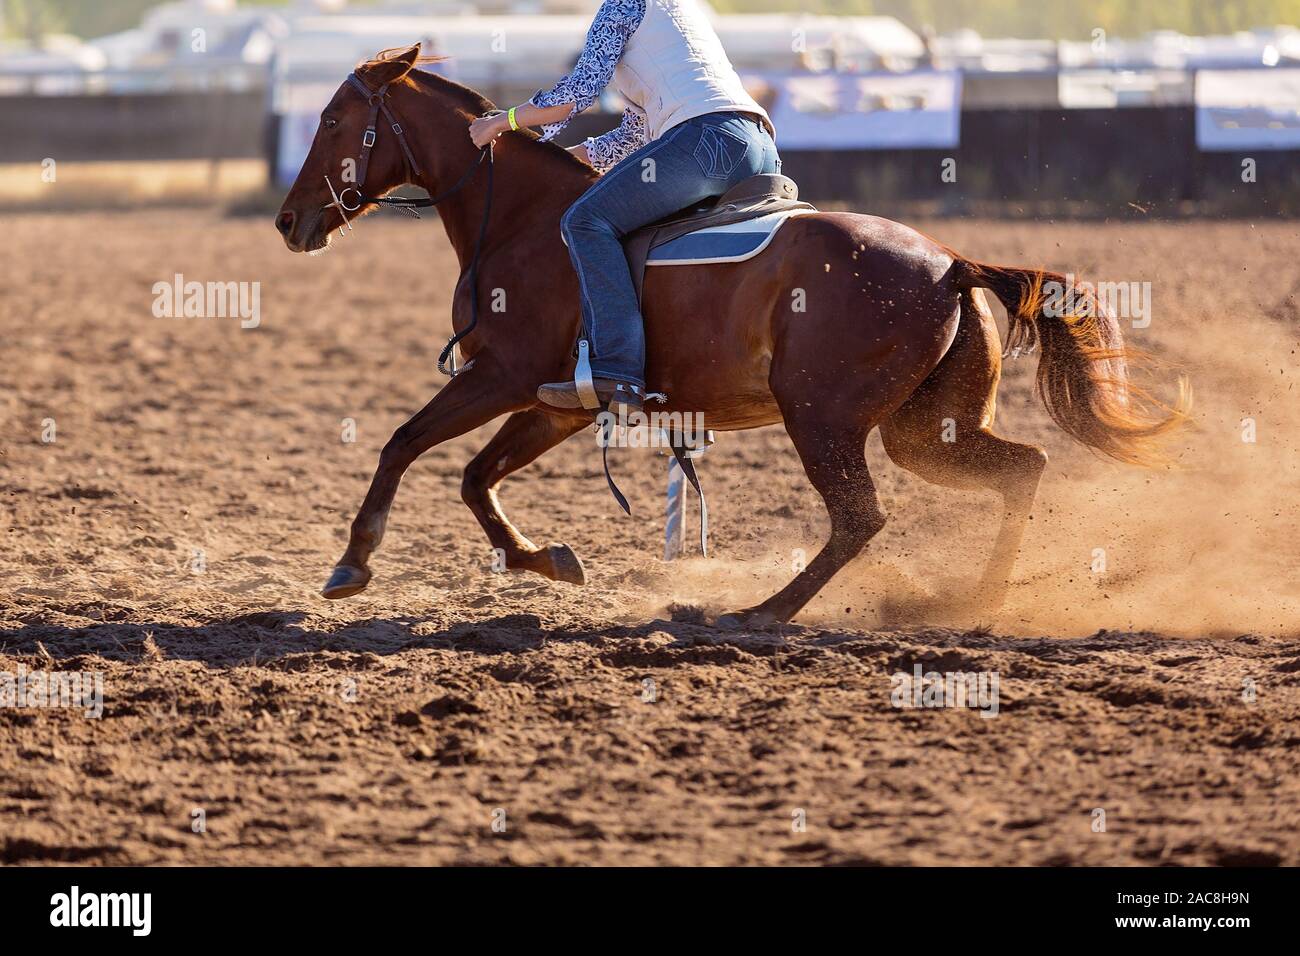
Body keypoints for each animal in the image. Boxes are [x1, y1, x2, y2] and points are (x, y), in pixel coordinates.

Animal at [275, 45, 1189, 626]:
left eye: (332, 120)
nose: (288, 221)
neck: (525, 219)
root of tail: (948, 263)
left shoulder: (500, 375)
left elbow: (404, 443)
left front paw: (353, 563)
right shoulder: (558, 403)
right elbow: (474, 479)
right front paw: (552, 559)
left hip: (824, 417)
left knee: (859, 519)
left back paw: (759, 612)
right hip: (924, 428)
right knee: (1021, 469)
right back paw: (976, 602)